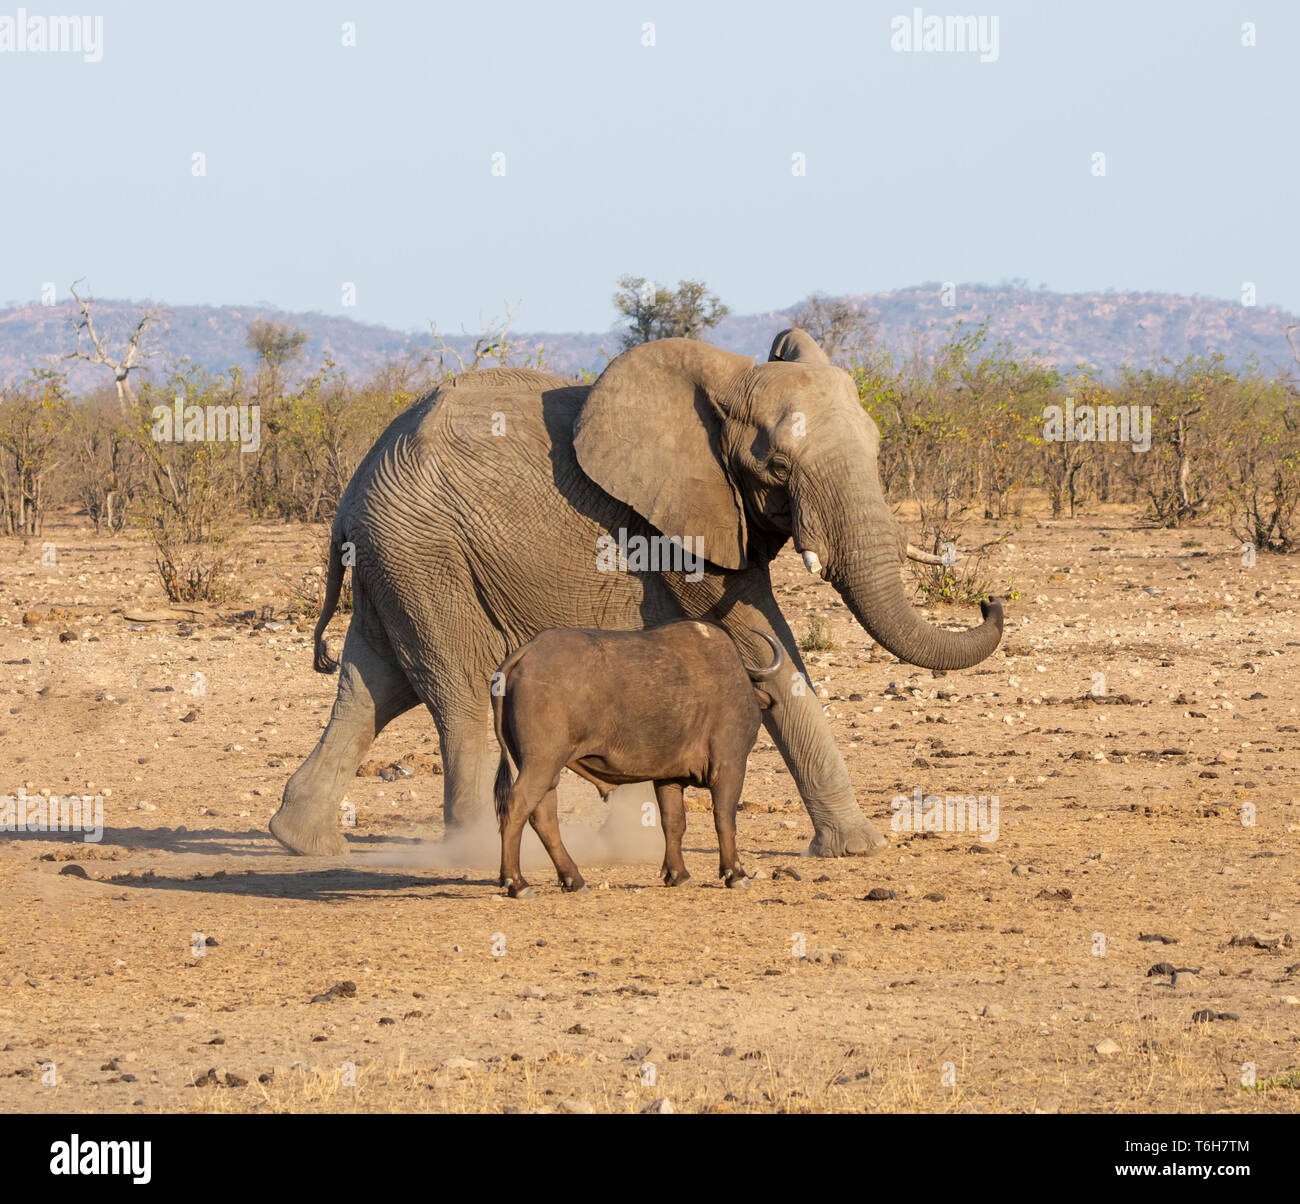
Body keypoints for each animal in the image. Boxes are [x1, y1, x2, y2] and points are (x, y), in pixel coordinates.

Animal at [269, 328, 1003, 861]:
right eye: (777, 467)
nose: (989, 601)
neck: (728, 377)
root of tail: (348, 502)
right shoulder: (677, 523)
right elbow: (765, 643)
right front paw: (855, 850)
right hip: (425, 554)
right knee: (459, 690)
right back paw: (471, 854)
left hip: (395, 561)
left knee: (374, 683)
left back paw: (301, 841)